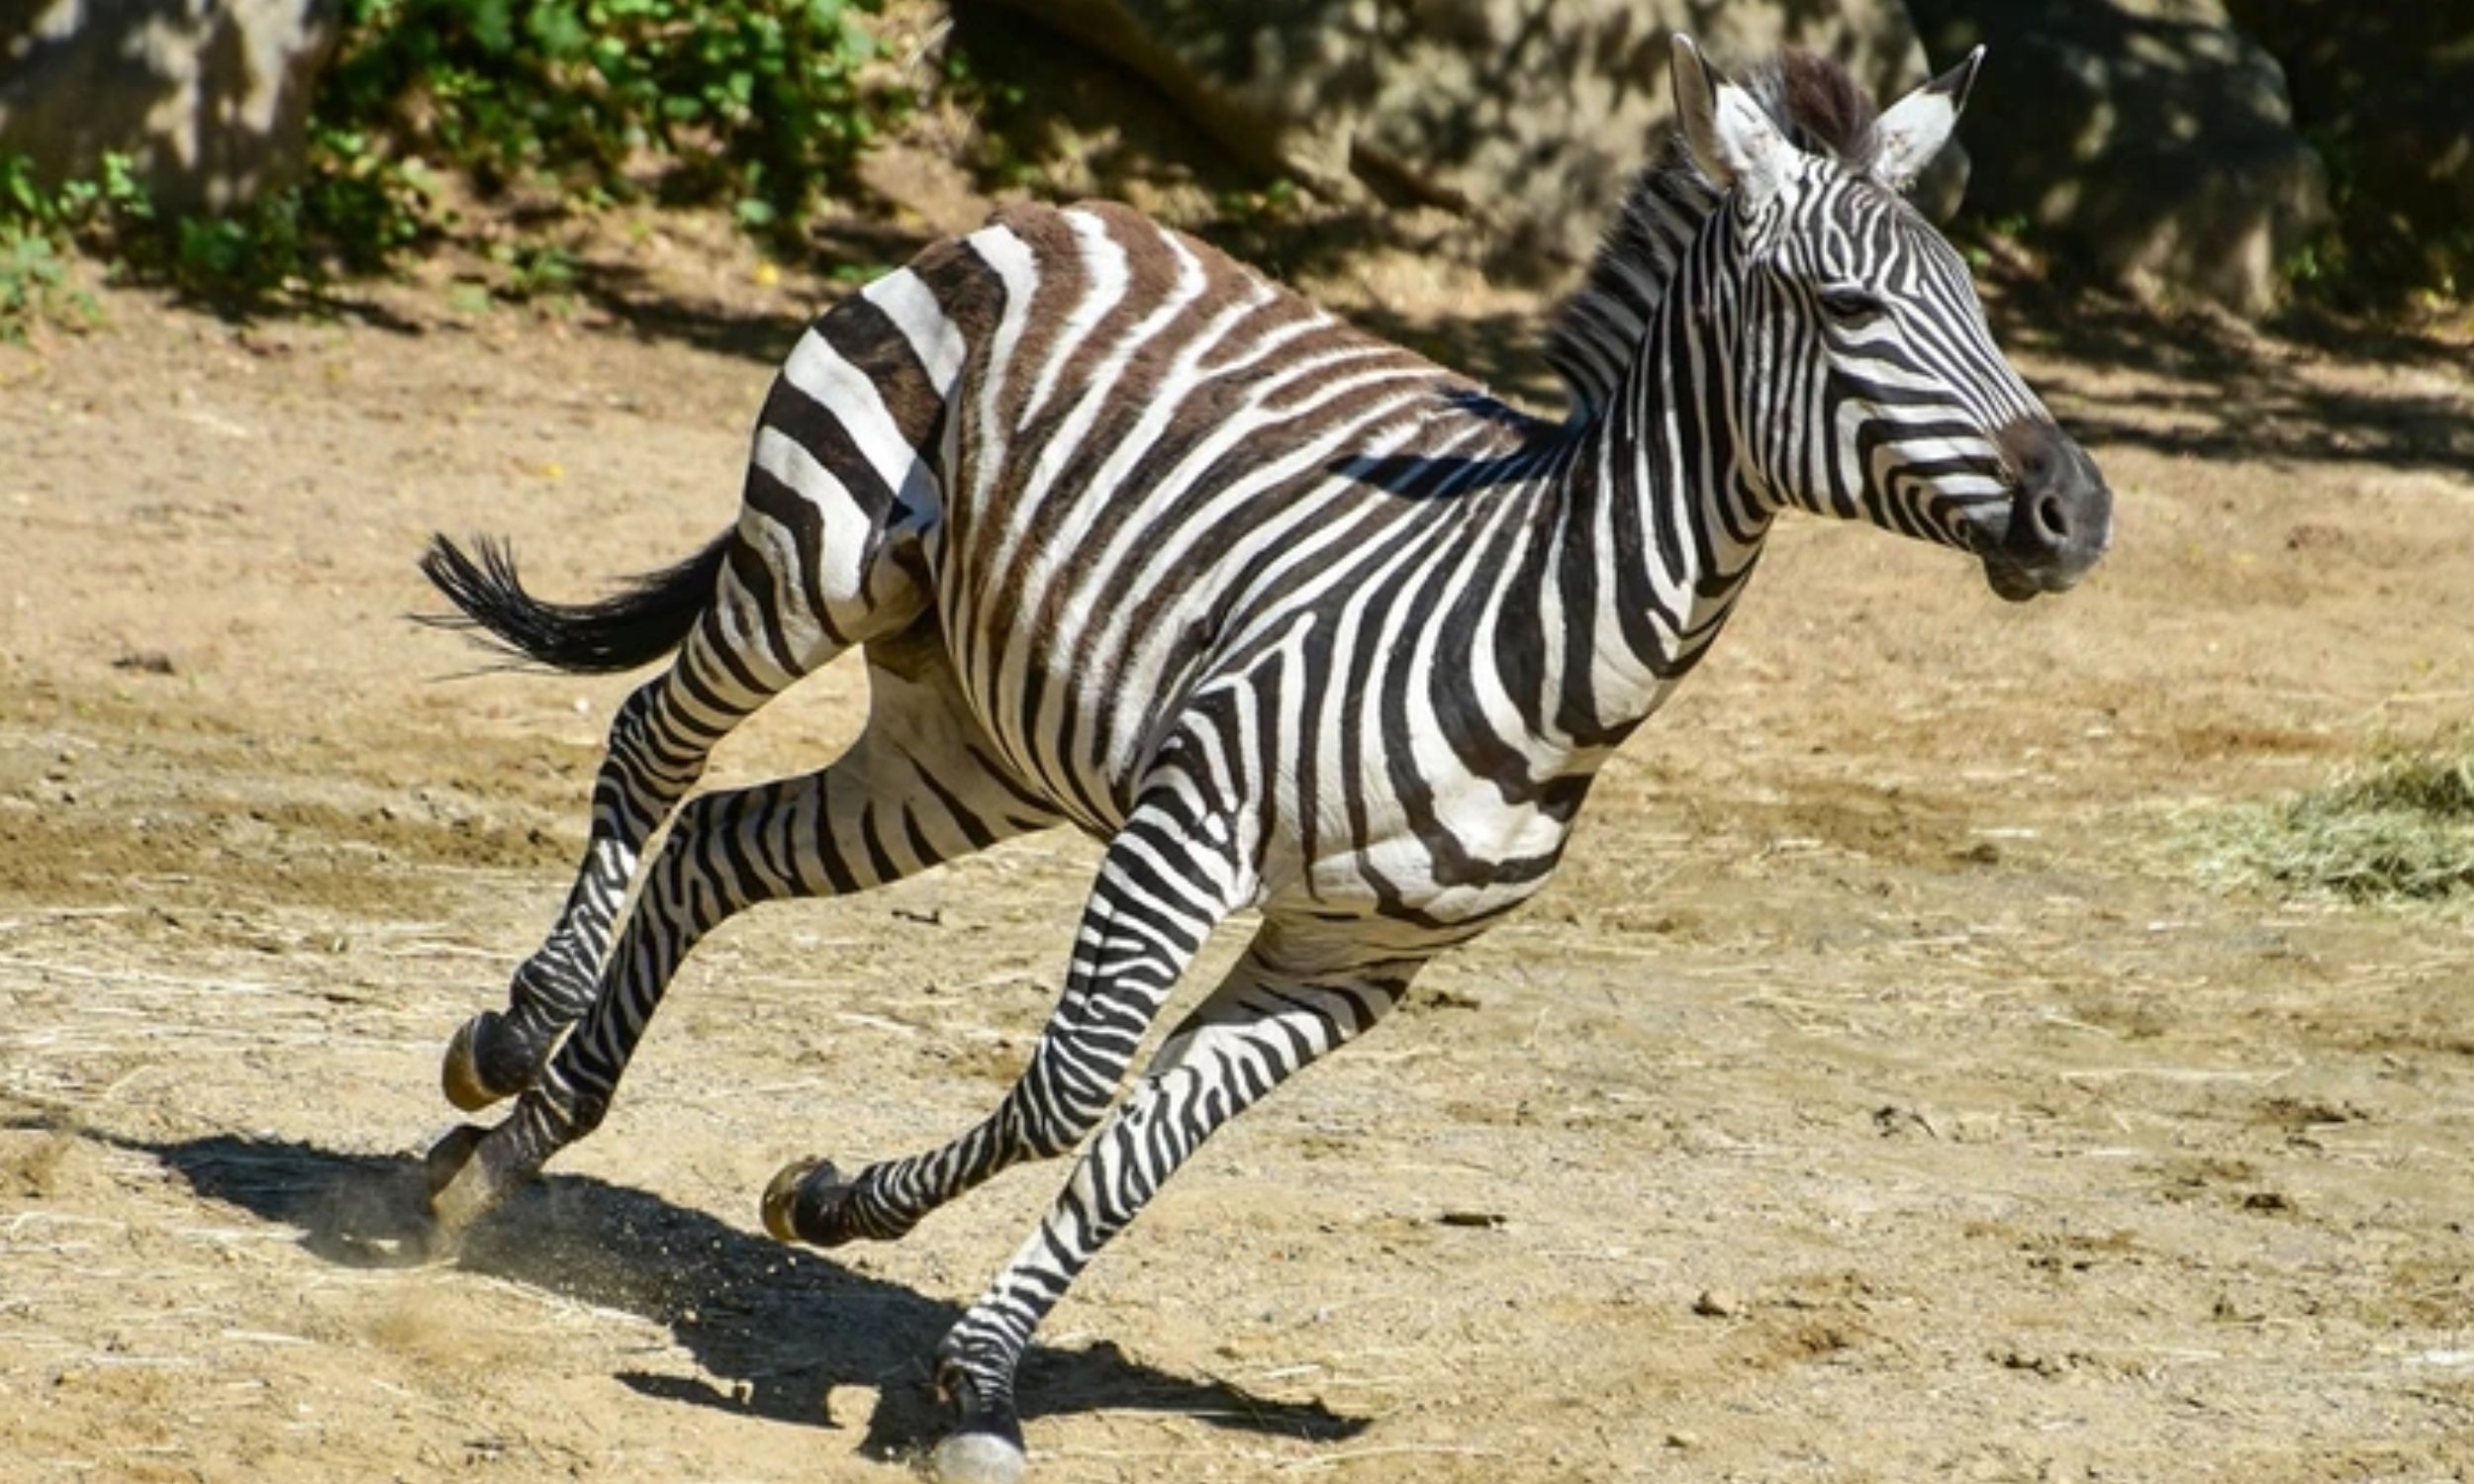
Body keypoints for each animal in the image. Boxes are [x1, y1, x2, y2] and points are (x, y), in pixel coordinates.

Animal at [411, 37, 2110, 1484]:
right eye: (1846, 311)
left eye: (1979, 303)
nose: (2078, 512)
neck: (1541, 633)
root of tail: (1068, 209)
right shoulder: (1186, 832)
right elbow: (1072, 1094)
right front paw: (870, 1248)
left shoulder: (1345, 966)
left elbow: (1139, 1156)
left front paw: (957, 1360)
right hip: (814, 555)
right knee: (653, 745)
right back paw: (510, 1043)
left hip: (967, 739)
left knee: (724, 844)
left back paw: (509, 1157)